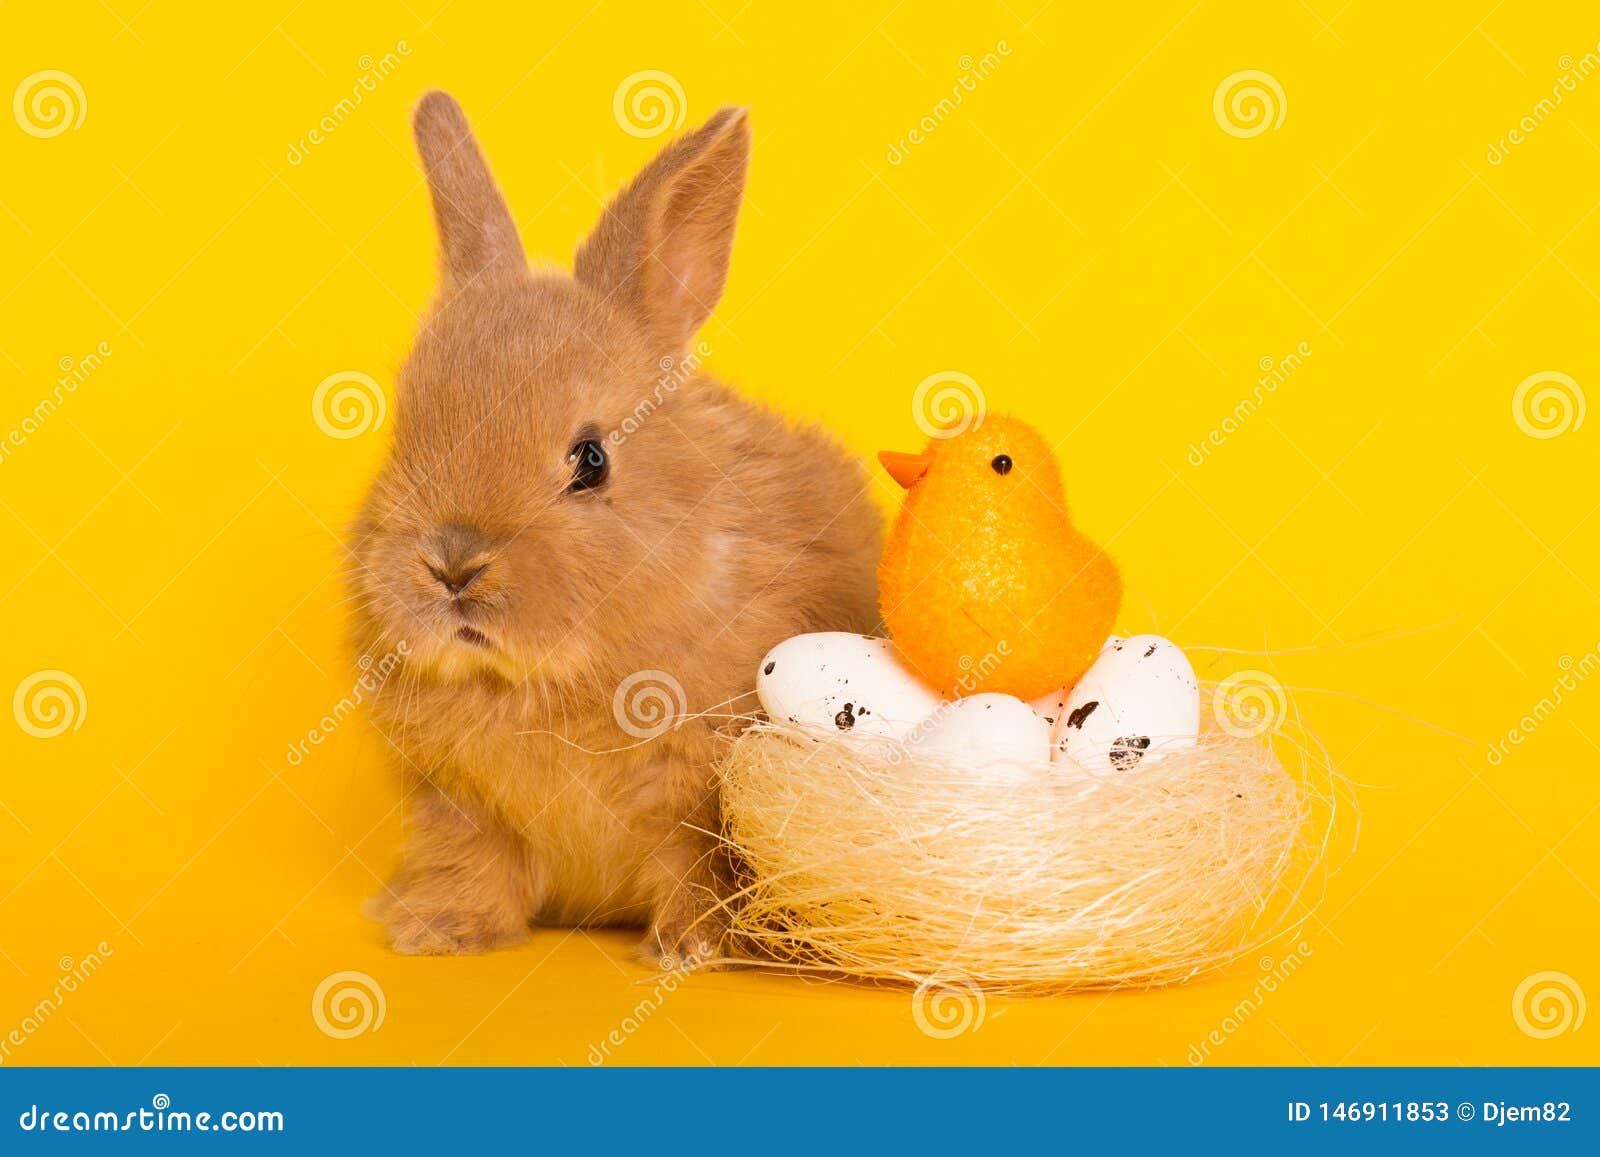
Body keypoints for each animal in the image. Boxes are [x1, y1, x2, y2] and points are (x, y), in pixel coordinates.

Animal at [347, 91, 883, 966]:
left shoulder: (698, 798)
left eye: (591, 458)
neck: (549, 679)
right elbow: (472, 863)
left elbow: (696, 868)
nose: (453, 565)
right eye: (404, 435)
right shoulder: (459, 804)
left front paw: (687, 949)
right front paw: (439, 931)